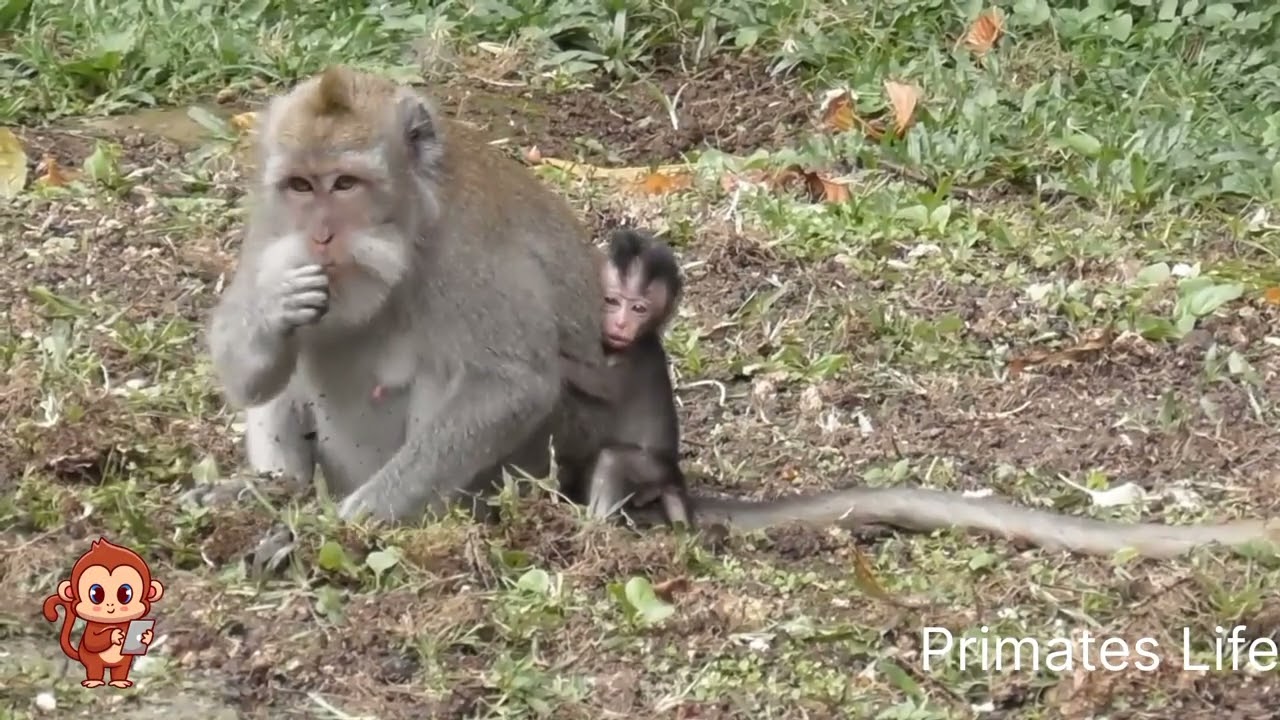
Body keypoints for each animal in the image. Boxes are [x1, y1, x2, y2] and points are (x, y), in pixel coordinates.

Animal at [42, 537, 164, 689]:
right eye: (96, 593)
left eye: (125, 593)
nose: (110, 605)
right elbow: (93, 640)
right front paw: (115, 635)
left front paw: (146, 636)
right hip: (93, 661)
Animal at [557, 228, 694, 528]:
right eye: (612, 301)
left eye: (639, 309)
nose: (621, 324)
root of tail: (673, 476)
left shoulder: (632, 361)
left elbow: (598, 383)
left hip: (651, 469)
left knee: (612, 460)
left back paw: (595, 522)